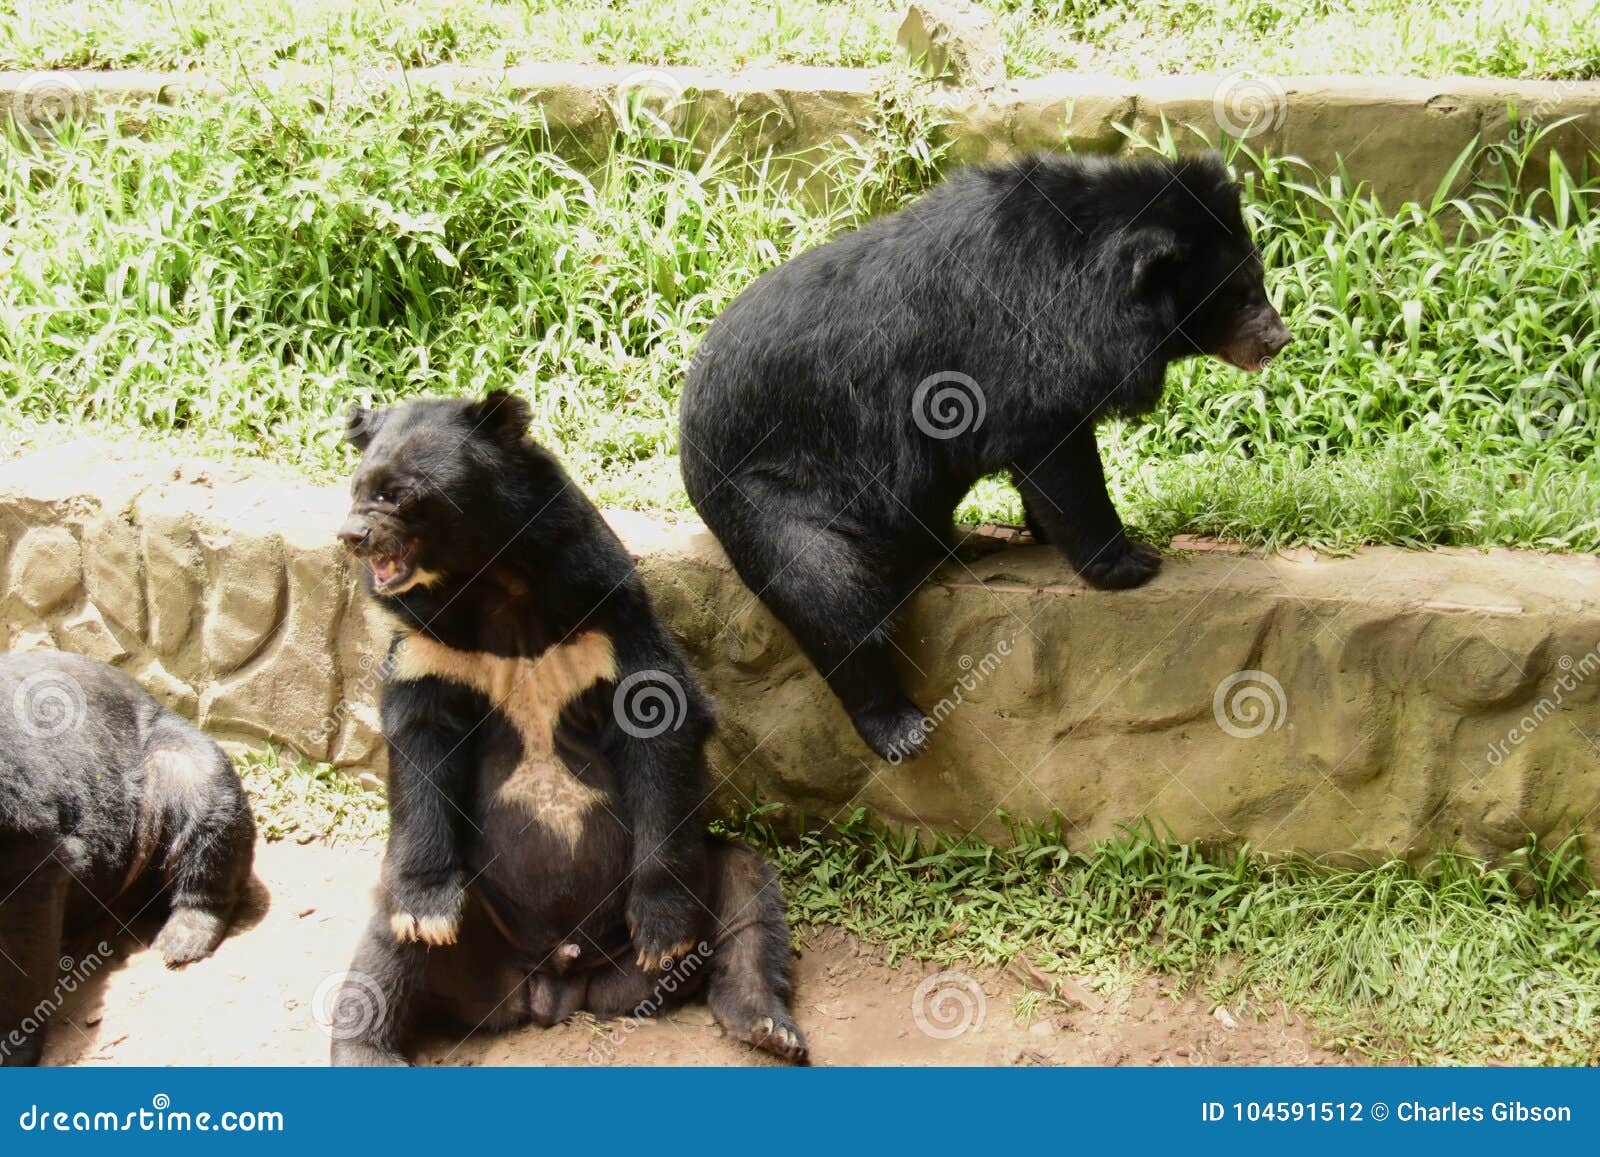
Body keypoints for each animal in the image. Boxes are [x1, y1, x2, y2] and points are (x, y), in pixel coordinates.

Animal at [0, 651, 256, 1066]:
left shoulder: (21, 824)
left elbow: (21, 921)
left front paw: (13, 1046)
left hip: (162, 762)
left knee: (206, 800)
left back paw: (182, 938)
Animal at [330, 390, 806, 1065]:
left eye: (401, 495)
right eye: (356, 487)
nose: (353, 537)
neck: (491, 574)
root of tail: (559, 980)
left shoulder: (604, 608)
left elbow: (660, 722)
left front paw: (661, 931)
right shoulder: (430, 643)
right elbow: (420, 737)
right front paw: (428, 910)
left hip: (695, 890)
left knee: (747, 900)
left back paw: (766, 1025)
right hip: (475, 910)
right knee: (384, 952)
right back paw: (370, 1046)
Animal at [679, 150, 1291, 762]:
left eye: (1256, 281)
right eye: (1238, 293)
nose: (1279, 341)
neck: (1085, 279)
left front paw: (1044, 535)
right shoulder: (1014, 355)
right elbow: (1063, 465)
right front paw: (1131, 563)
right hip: (771, 485)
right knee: (825, 590)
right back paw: (897, 724)